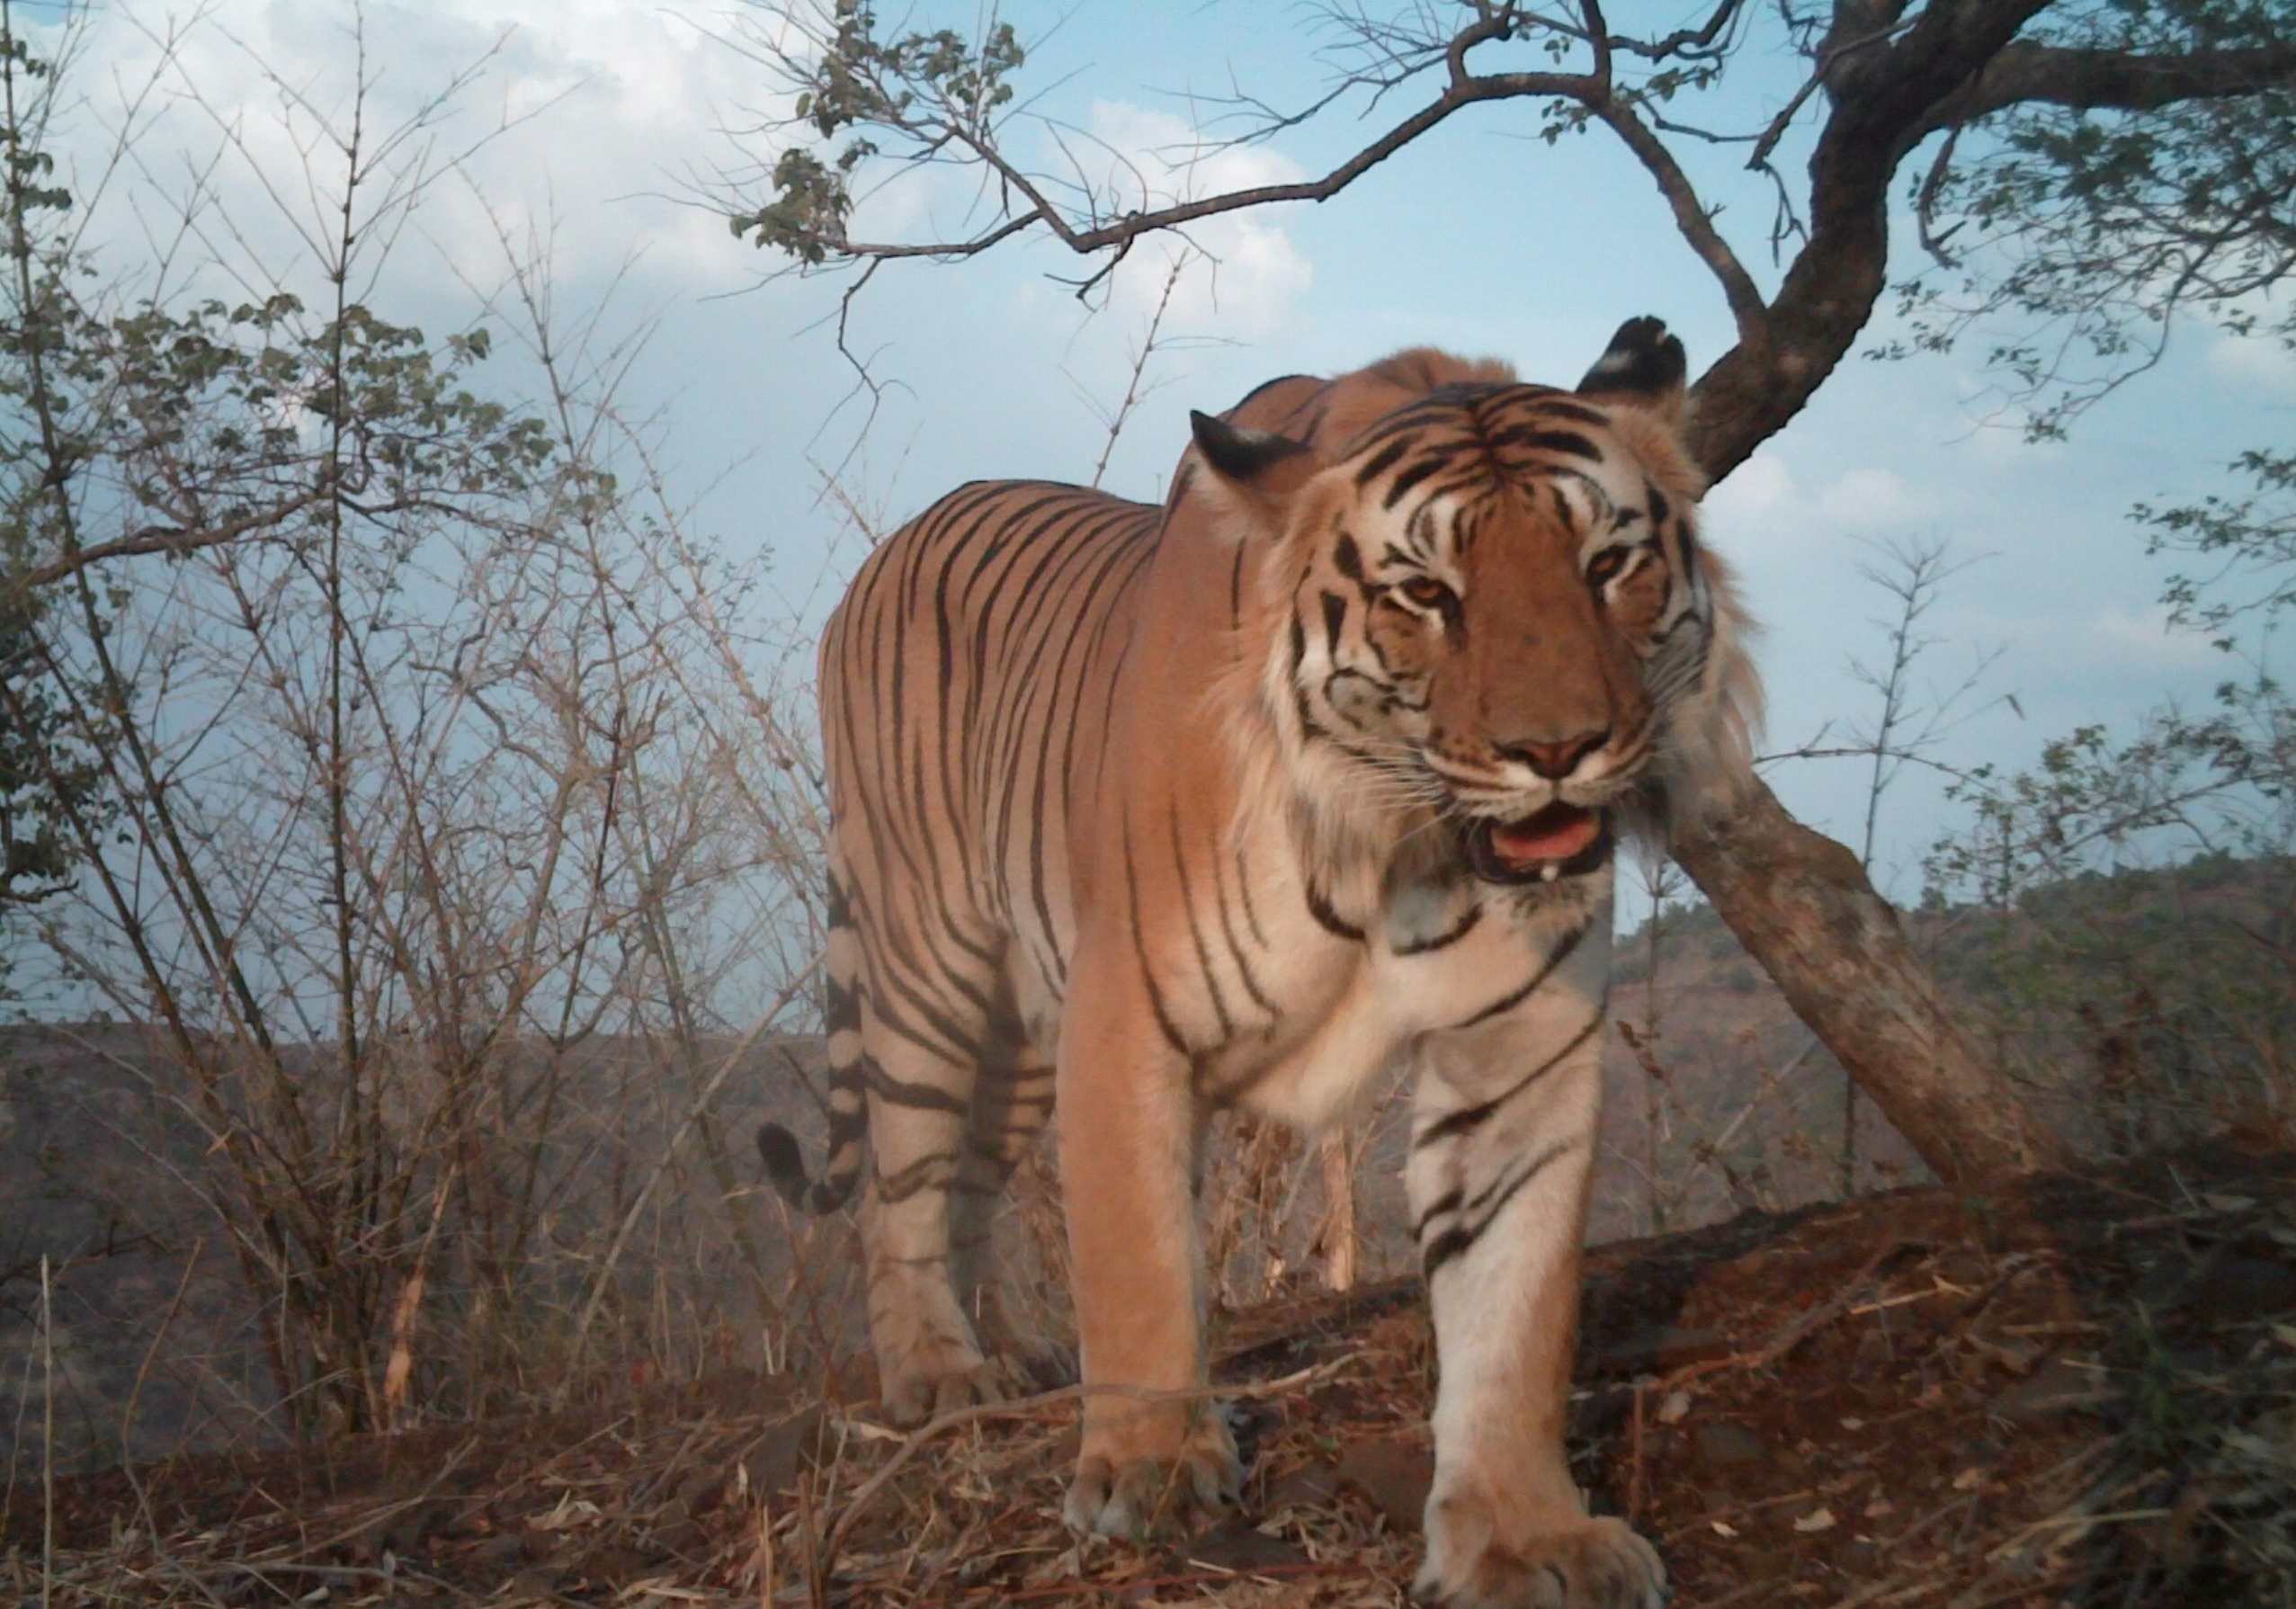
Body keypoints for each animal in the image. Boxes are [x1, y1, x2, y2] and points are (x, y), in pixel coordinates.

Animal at [759, 317, 1756, 1608]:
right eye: (1427, 595)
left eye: (1607, 564)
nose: (1557, 750)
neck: (1402, 834)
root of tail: (900, 538)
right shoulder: (1126, 1016)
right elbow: (1136, 1257)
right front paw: (1148, 1471)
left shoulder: (1518, 1047)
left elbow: (1516, 1305)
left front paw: (1525, 1534)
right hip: (930, 963)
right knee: (900, 1185)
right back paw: (939, 1374)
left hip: (1020, 1038)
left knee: (965, 1182)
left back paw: (1010, 1355)